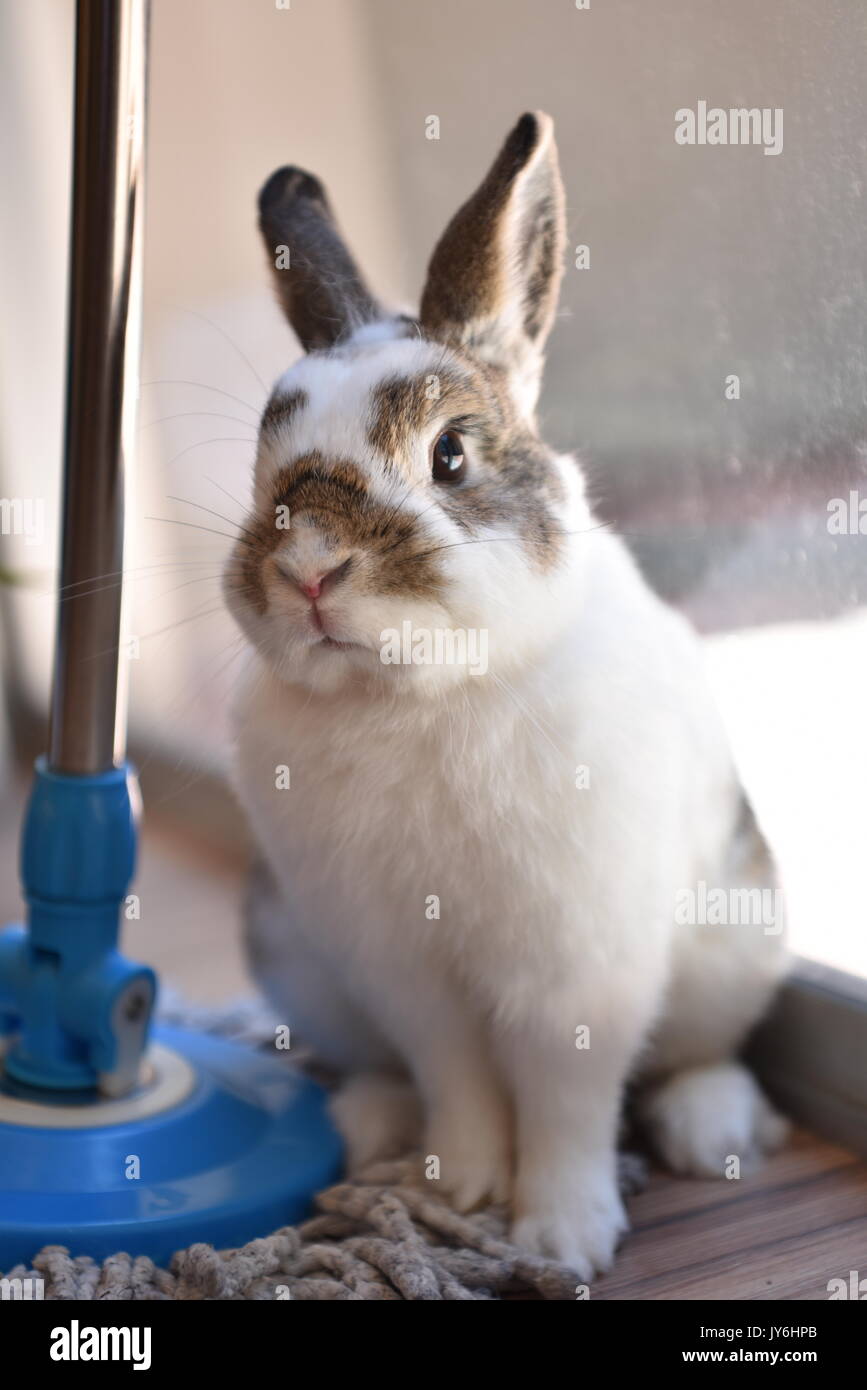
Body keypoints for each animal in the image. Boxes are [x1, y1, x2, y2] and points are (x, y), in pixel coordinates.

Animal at [224, 111, 789, 1279]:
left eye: (449, 455)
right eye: (264, 466)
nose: (307, 569)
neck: (419, 693)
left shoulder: (577, 966)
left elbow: (567, 1099)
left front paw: (563, 1235)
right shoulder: (402, 969)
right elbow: (459, 1077)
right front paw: (461, 1185)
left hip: (733, 948)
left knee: (698, 1057)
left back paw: (705, 1126)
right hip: (303, 967)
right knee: (383, 1065)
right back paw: (369, 1124)